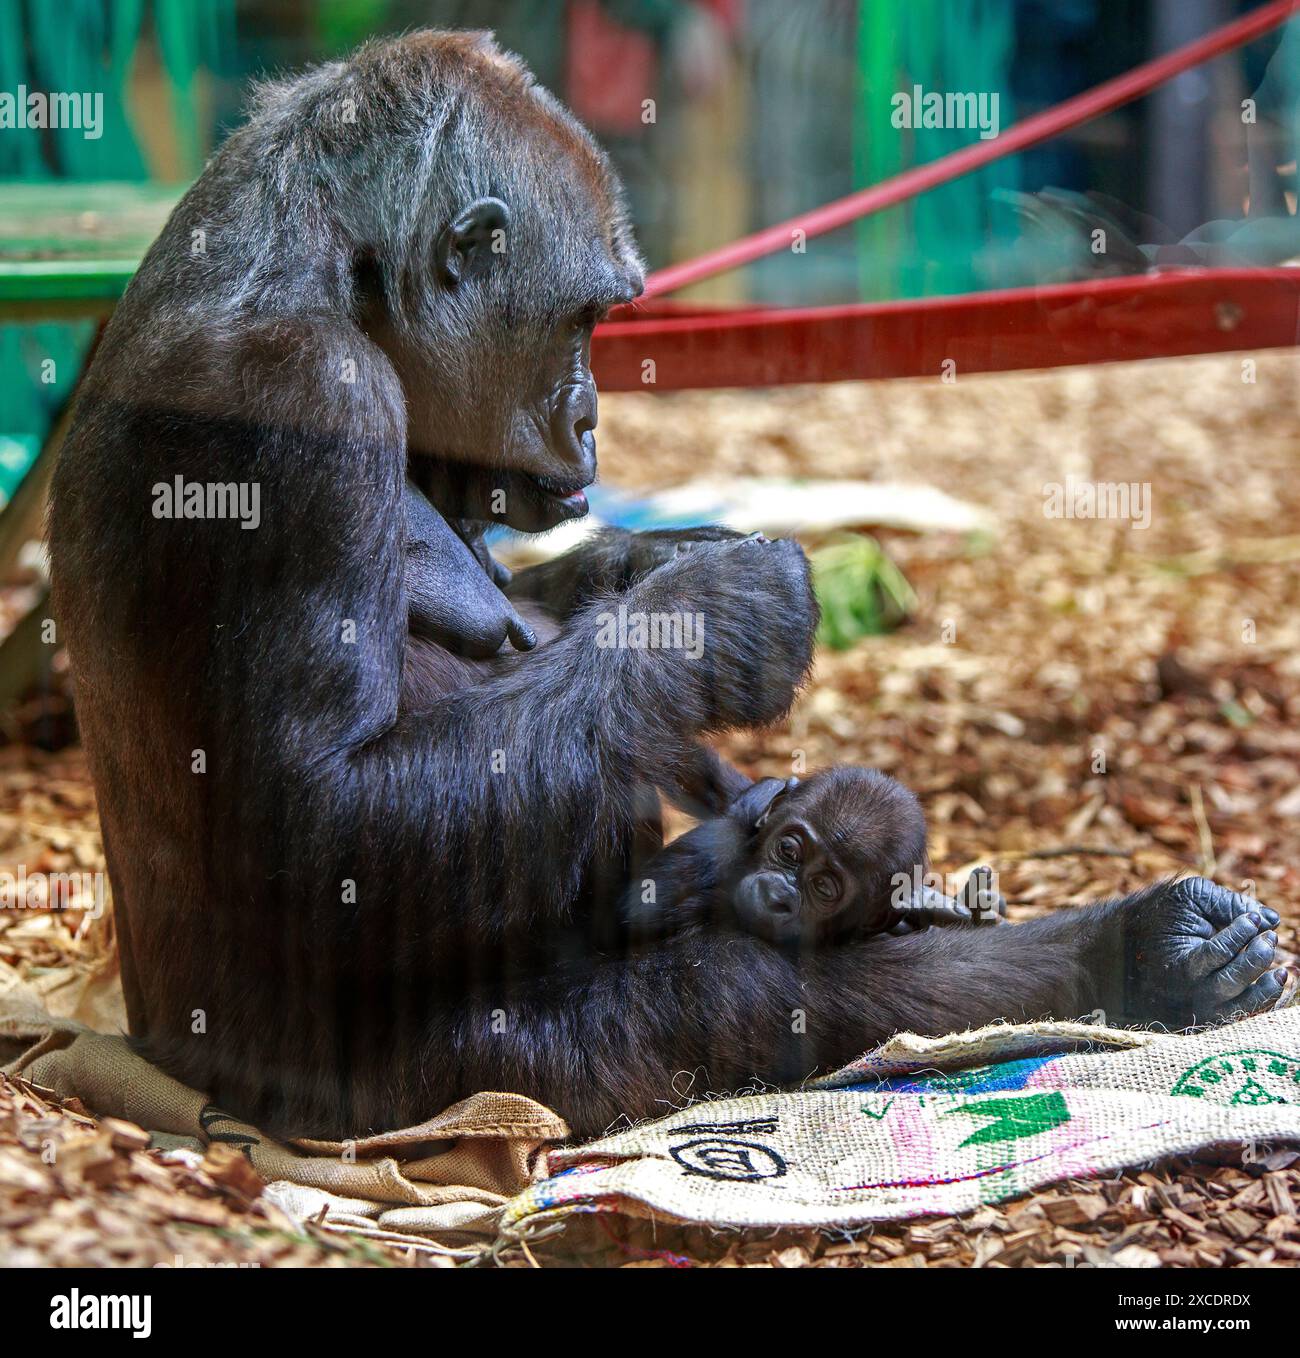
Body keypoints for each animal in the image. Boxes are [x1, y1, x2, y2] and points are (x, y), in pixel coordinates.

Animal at [48, 32, 1286, 1143]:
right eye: (587, 316)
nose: (593, 412)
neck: (322, 272)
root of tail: (163, 1056)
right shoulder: (300, 402)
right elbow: (317, 820)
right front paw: (728, 614)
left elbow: (548, 608)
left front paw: (668, 569)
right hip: (408, 1094)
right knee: (759, 987)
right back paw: (1118, 959)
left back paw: (1159, 944)